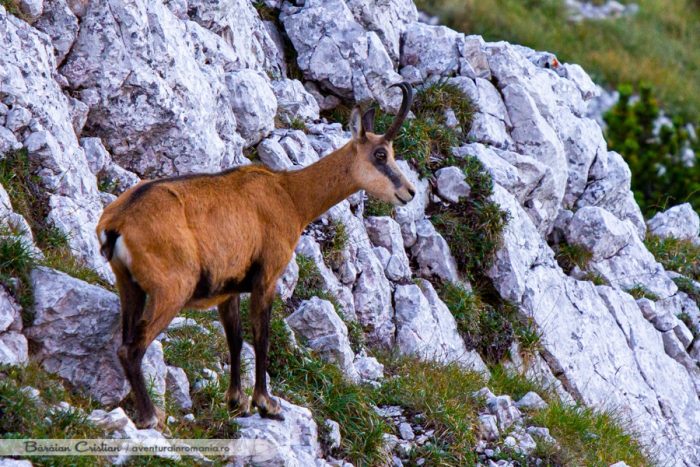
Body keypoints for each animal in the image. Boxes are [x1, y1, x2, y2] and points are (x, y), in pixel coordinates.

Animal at [96, 83, 417, 428]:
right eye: (381, 155)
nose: (410, 192)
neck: (290, 196)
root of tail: (117, 222)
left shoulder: (229, 288)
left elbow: (236, 339)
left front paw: (236, 401)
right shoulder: (267, 277)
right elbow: (261, 337)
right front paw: (266, 403)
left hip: (128, 285)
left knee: (125, 342)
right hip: (171, 289)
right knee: (133, 348)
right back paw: (150, 416)